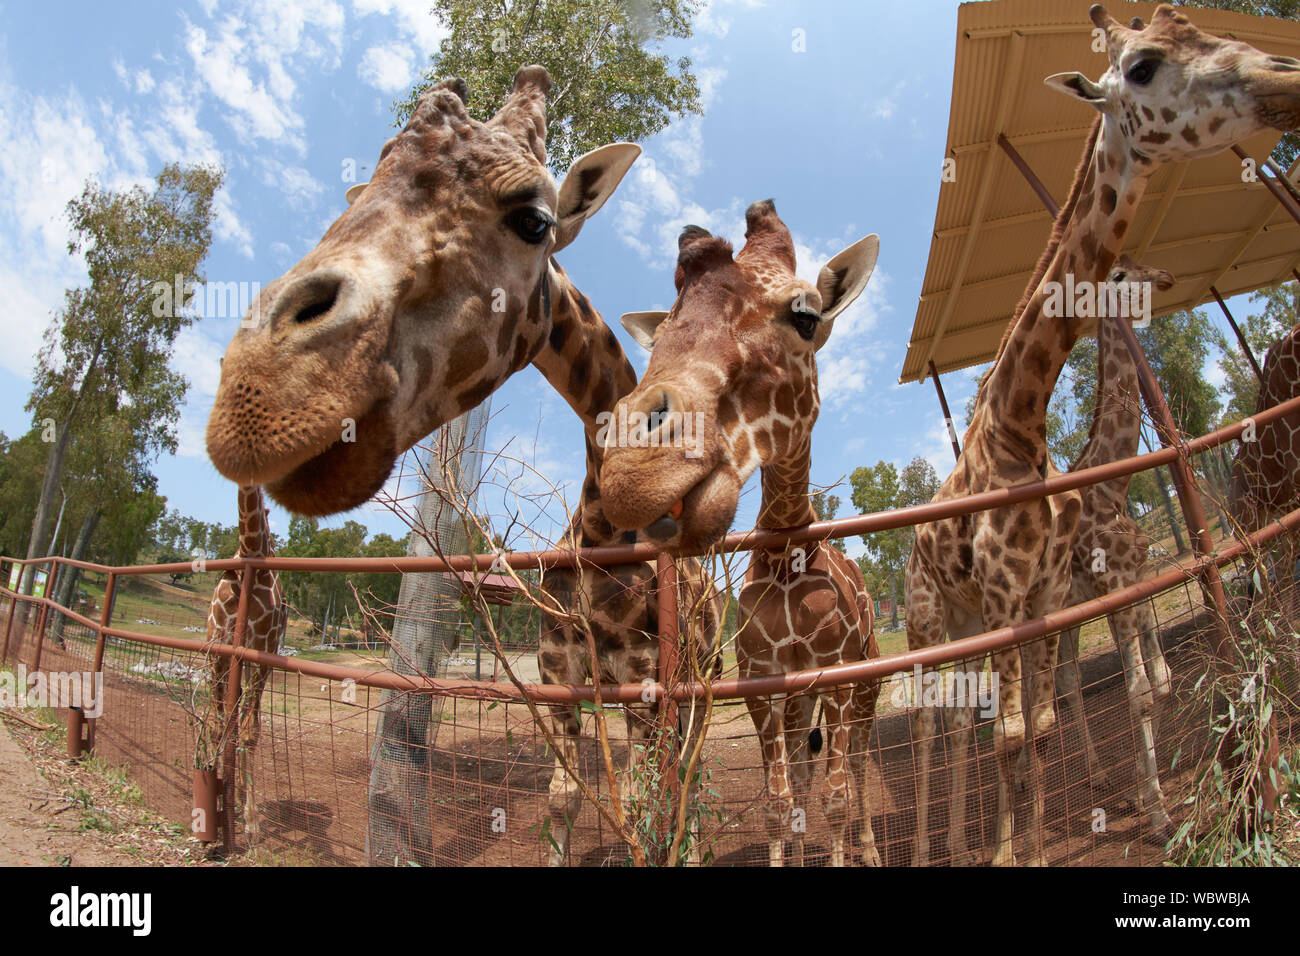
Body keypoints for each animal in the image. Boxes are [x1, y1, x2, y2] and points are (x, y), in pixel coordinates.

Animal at [203, 65, 719, 864]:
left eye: (535, 219)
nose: (258, 394)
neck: (606, 534)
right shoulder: (562, 674)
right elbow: (569, 797)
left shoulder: (645, 683)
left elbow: (643, 804)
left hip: (699, 681)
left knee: (694, 776)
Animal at [597, 200, 882, 866]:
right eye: (663, 328)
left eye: (805, 316)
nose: (635, 469)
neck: (785, 557)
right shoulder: (761, 685)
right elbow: (781, 798)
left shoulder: (836, 677)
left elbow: (835, 797)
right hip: (801, 698)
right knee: (808, 771)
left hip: (866, 684)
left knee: (858, 764)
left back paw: (870, 849)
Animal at [906, 4, 1300, 867]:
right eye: (1144, 65)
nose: (1287, 77)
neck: (1019, 427)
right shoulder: (1006, 595)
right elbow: (1016, 731)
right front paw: (1012, 852)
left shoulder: (1049, 595)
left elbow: (1042, 726)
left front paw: (1033, 847)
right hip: (928, 614)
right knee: (932, 723)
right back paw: (928, 848)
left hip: (972, 618)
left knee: (964, 722)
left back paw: (958, 837)